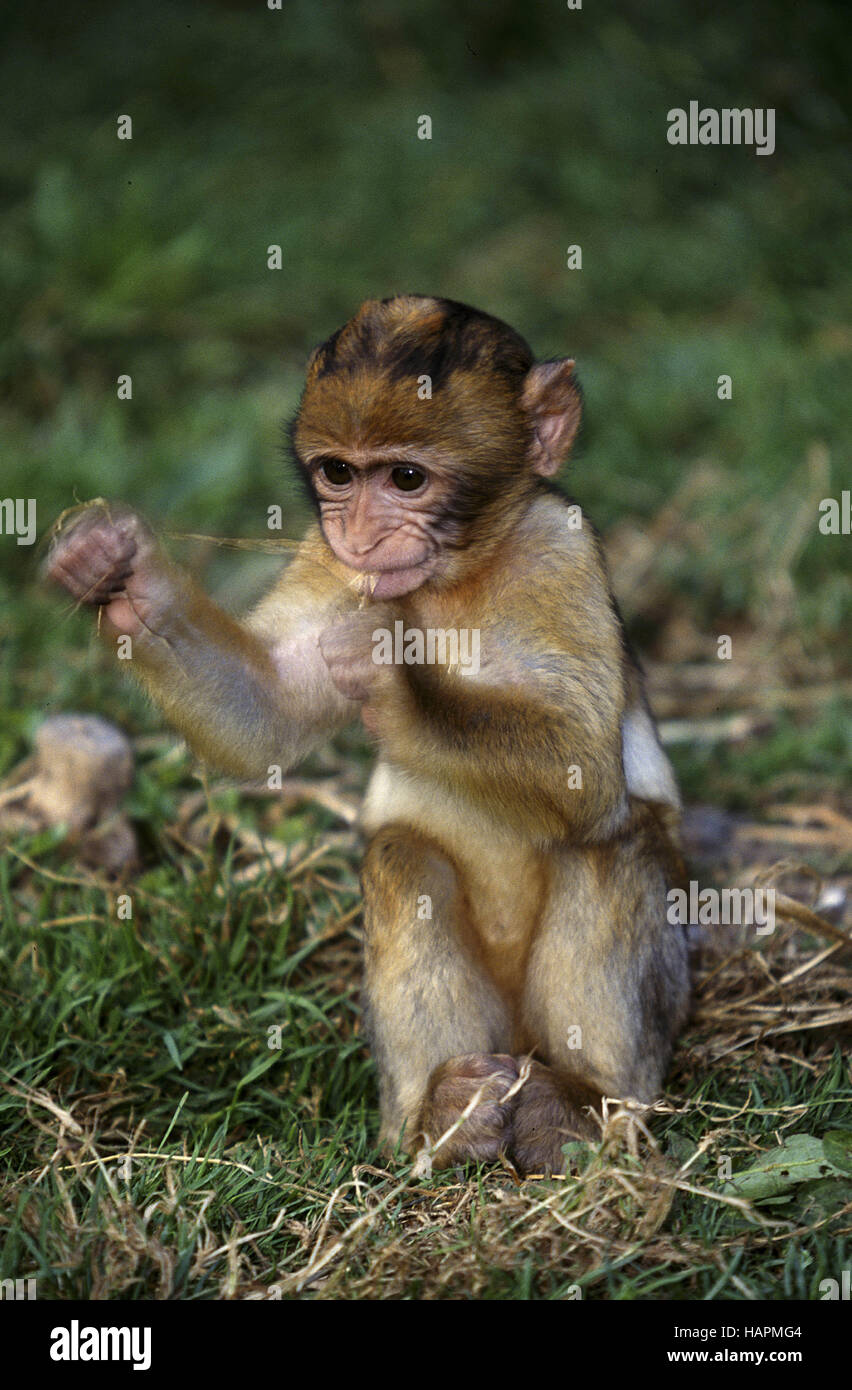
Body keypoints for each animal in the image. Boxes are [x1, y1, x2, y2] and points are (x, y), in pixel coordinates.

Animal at [46, 294, 690, 1175]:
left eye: (407, 477)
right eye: (338, 474)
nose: (358, 532)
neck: (461, 574)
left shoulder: (562, 549)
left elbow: (586, 771)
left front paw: (394, 671)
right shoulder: (329, 565)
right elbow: (272, 713)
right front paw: (120, 573)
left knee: (609, 847)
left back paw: (587, 1106)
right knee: (401, 860)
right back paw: (442, 1117)